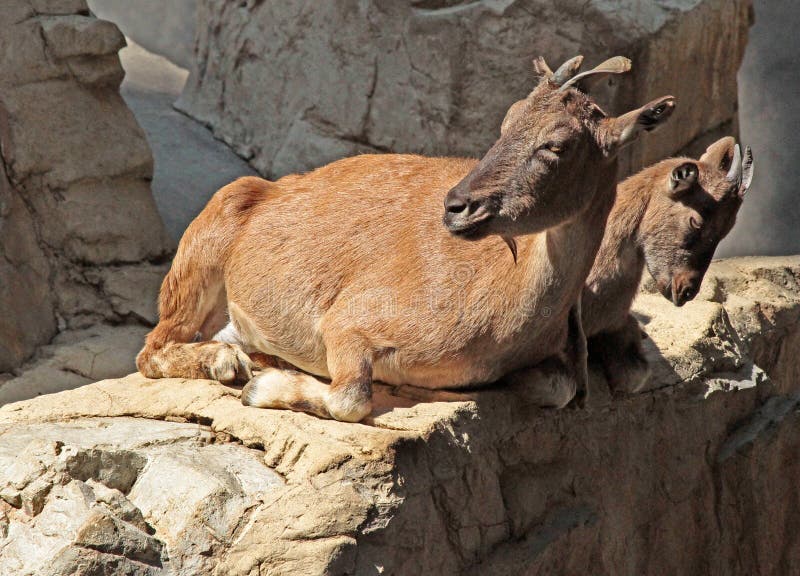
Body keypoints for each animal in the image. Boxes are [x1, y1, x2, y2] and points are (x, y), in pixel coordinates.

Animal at [136, 55, 676, 422]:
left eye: (556, 145)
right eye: (506, 122)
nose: (458, 205)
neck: (506, 295)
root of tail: (269, 188)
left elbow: (563, 386)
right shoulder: (351, 322)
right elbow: (351, 397)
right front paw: (264, 388)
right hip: (205, 246)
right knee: (154, 346)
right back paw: (227, 363)